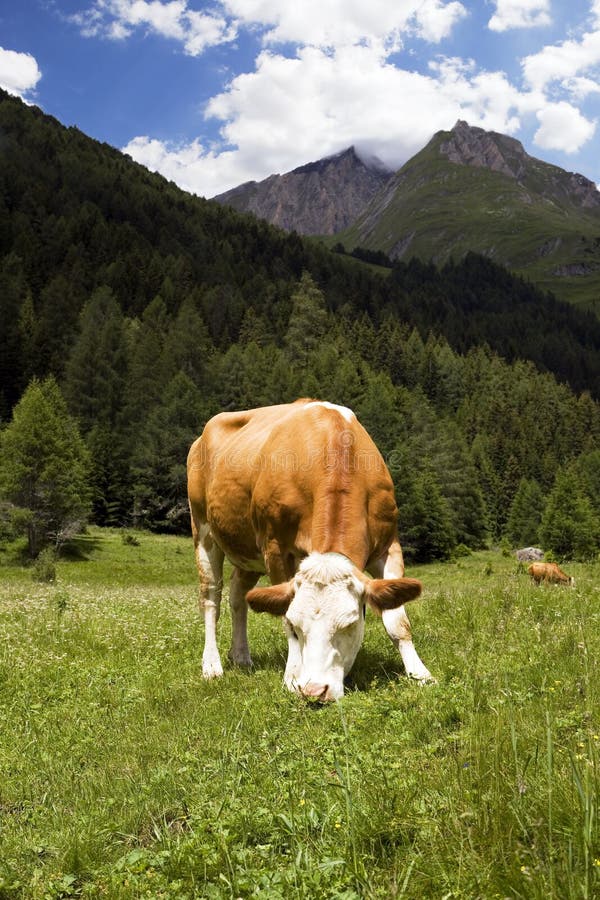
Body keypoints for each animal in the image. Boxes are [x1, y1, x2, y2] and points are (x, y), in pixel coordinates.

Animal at [187, 399, 432, 701]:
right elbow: (284, 617)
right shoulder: (275, 549)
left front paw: (420, 674)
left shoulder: (389, 546)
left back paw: (241, 656)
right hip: (203, 529)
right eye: (298, 624)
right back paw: (212, 665)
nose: (316, 690)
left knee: (238, 595)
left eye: (350, 623)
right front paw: (293, 677)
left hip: (245, 549)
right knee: (211, 598)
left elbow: (397, 620)